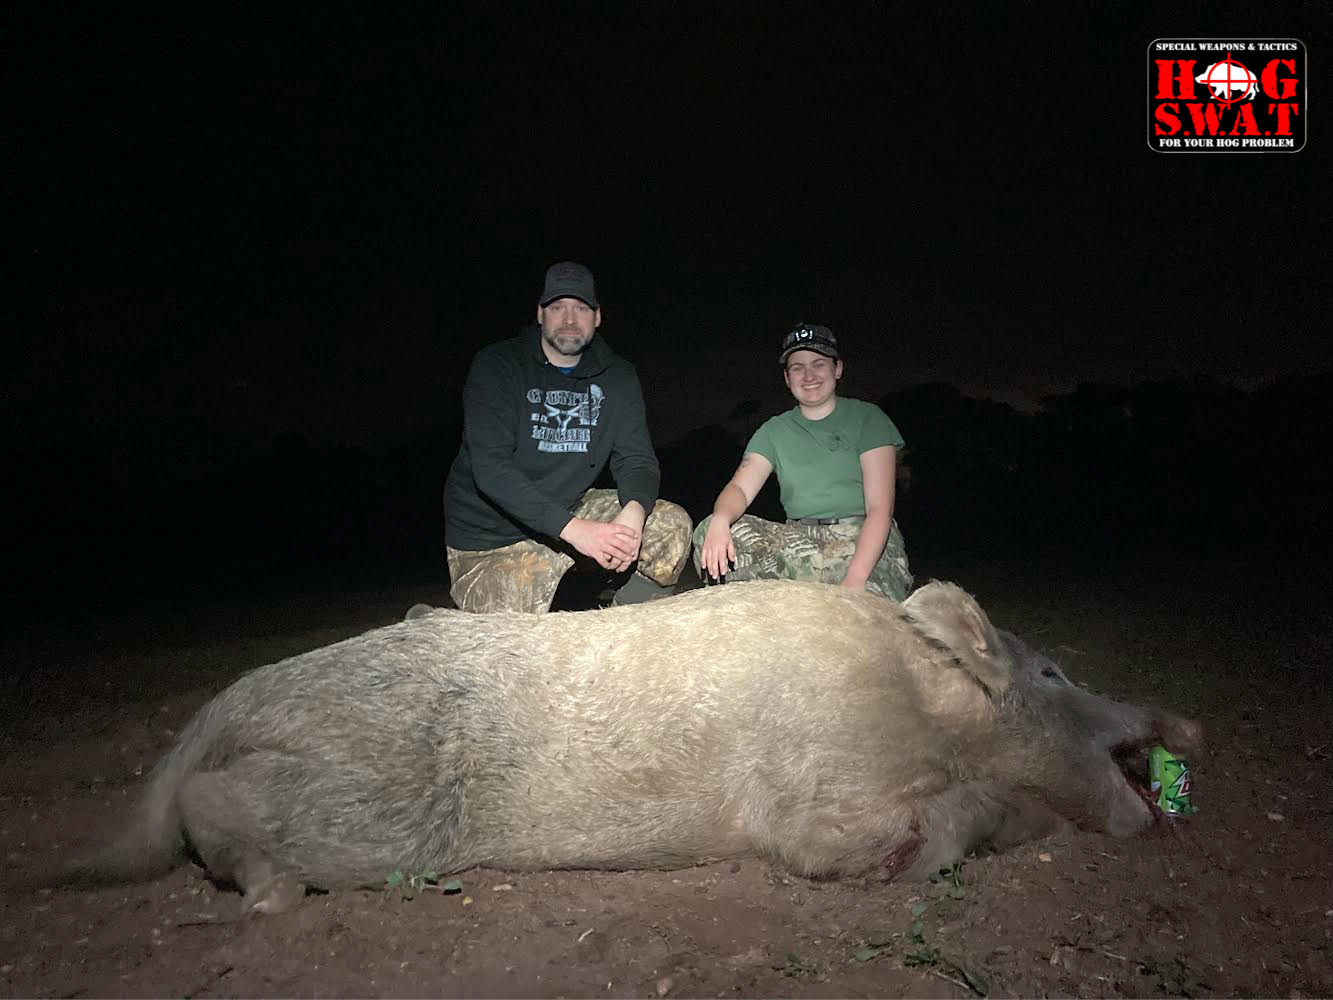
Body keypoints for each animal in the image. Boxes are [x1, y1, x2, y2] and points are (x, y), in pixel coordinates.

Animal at [6, 580, 1200, 914]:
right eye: (1051, 676)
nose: (1185, 718)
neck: (922, 710)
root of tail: (224, 703)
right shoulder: (815, 811)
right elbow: (921, 832)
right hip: (365, 815)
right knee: (215, 818)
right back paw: (265, 899)